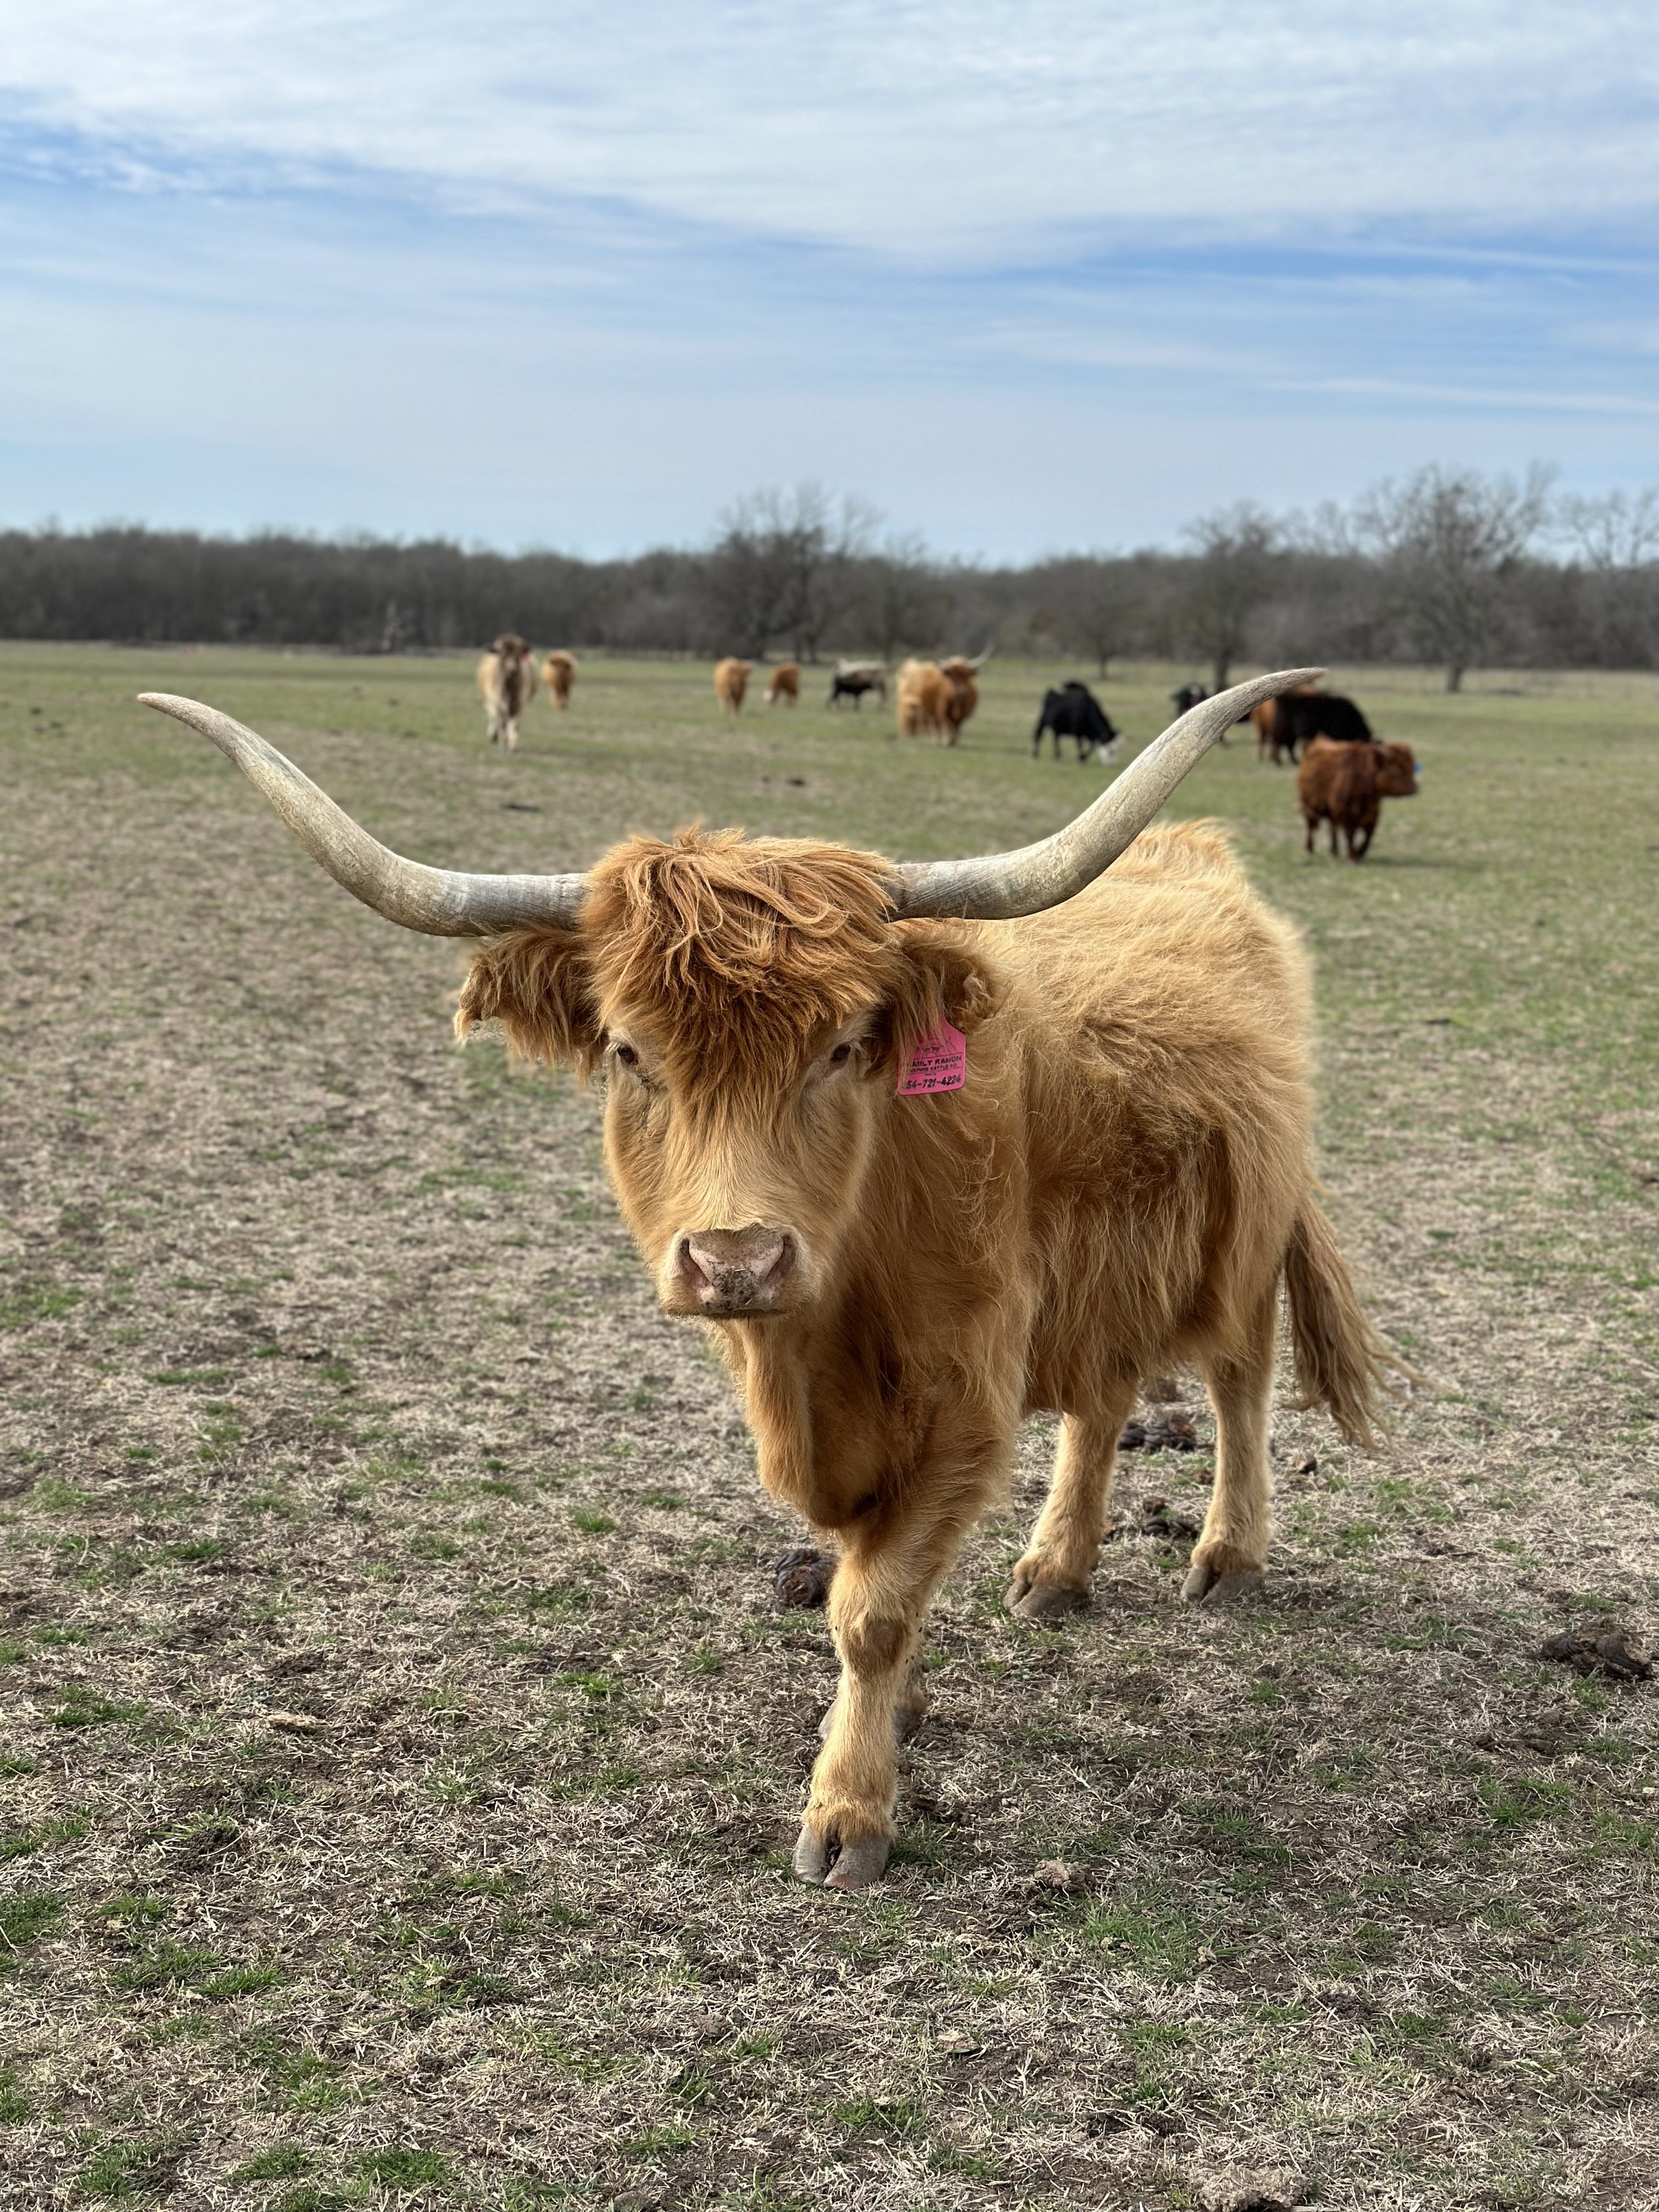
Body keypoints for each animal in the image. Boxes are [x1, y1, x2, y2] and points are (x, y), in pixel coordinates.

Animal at [477, 635, 538, 750]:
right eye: (502, 655)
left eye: (518, 655)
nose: (512, 671)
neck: (508, 691)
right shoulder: (497, 705)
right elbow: (502, 724)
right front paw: (503, 744)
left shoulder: (520, 705)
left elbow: (514, 725)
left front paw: (512, 744)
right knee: (493, 718)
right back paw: (494, 736)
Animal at [1032, 681, 1121, 763]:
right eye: (1111, 751)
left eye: (1117, 749)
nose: (1112, 764)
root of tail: (1051, 691)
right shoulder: (1077, 731)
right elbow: (1080, 745)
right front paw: (1080, 758)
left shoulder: (1090, 734)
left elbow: (1092, 746)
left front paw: (1083, 758)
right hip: (1043, 720)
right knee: (1038, 734)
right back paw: (1035, 753)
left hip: (1056, 726)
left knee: (1056, 738)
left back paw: (1058, 755)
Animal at [1297, 734, 1418, 860]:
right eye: (1396, 769)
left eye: (1411, 768)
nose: (1414, 789)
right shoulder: (1345, 815)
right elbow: (1350, 835)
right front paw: (1352, 855)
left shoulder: (1371, 815)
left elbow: (1368, 837)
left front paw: (1359, 853)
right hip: (1309, 807)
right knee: (1311, 827)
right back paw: (1309, 849)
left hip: (1331, 813)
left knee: (1332, 829)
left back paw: (1334, 852)